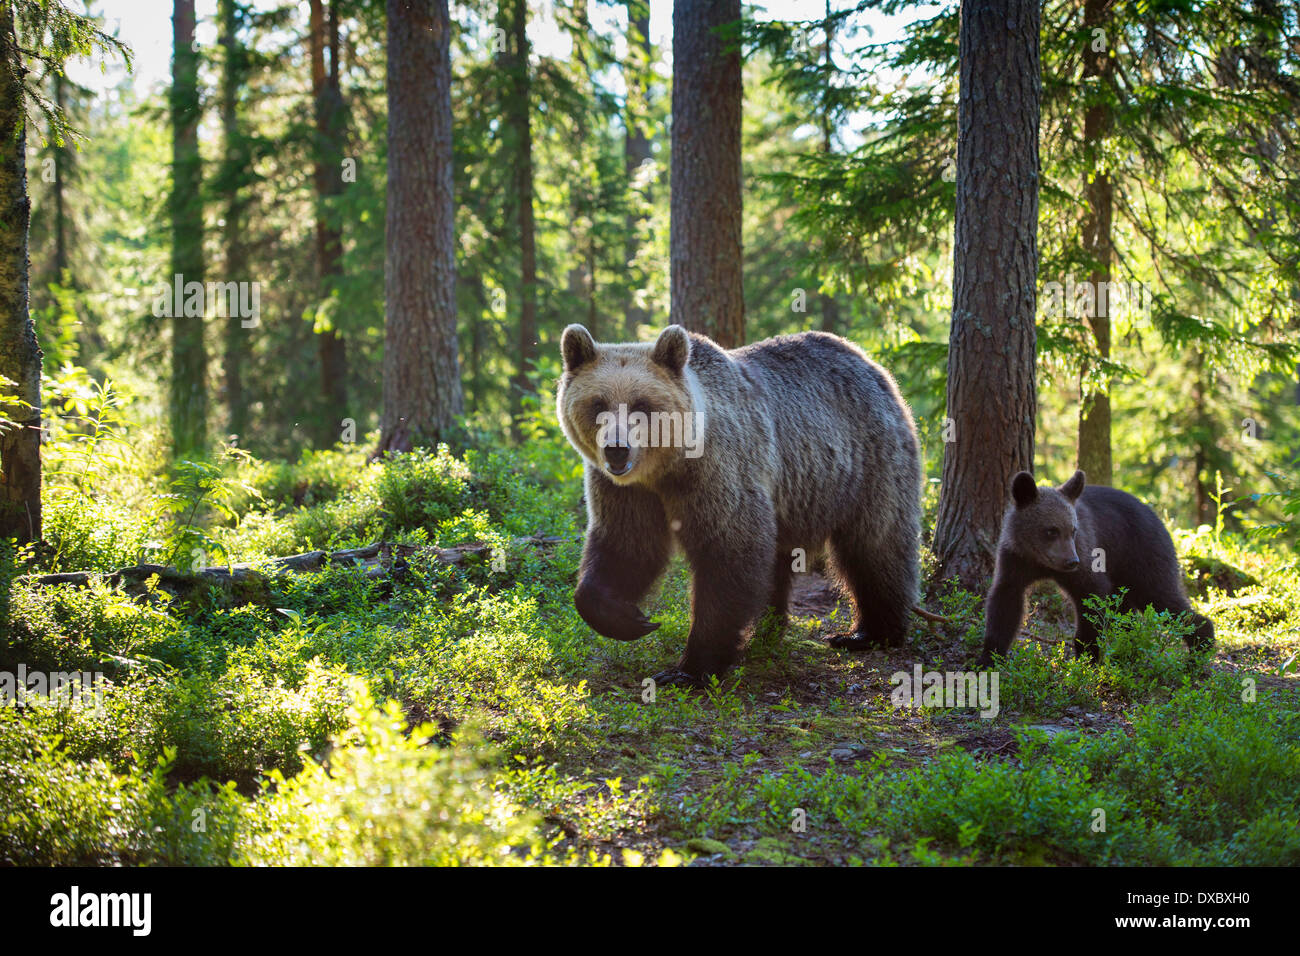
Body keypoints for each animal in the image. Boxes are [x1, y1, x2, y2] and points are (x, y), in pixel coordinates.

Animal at [557, 322, 924, 686]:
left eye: (641, 405)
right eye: (598, 404)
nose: (616, 449)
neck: (664, 470)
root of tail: (868, 361)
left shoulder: (718, 470)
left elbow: (729, 555)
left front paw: (689, 669)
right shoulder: (627, 491)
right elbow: (627, 547)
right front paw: (628, 617)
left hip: (867, 462)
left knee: (875, 545)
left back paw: (869, 633)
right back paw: (768, 630)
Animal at [977, 469, 1215, 666]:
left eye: (1073, 530)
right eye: (1051, 530)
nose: (1072, 561)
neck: (1041, 562)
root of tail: (1159, 518)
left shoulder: (1087, 557)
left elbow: (1091, 599)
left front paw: (1086, 657)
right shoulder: (1015, 560)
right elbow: (1005, 603)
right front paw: (989, 657)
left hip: (1142, 554)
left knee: (1162, 598)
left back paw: (1200, 650)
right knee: (1128, 611)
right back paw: (1126, 651)